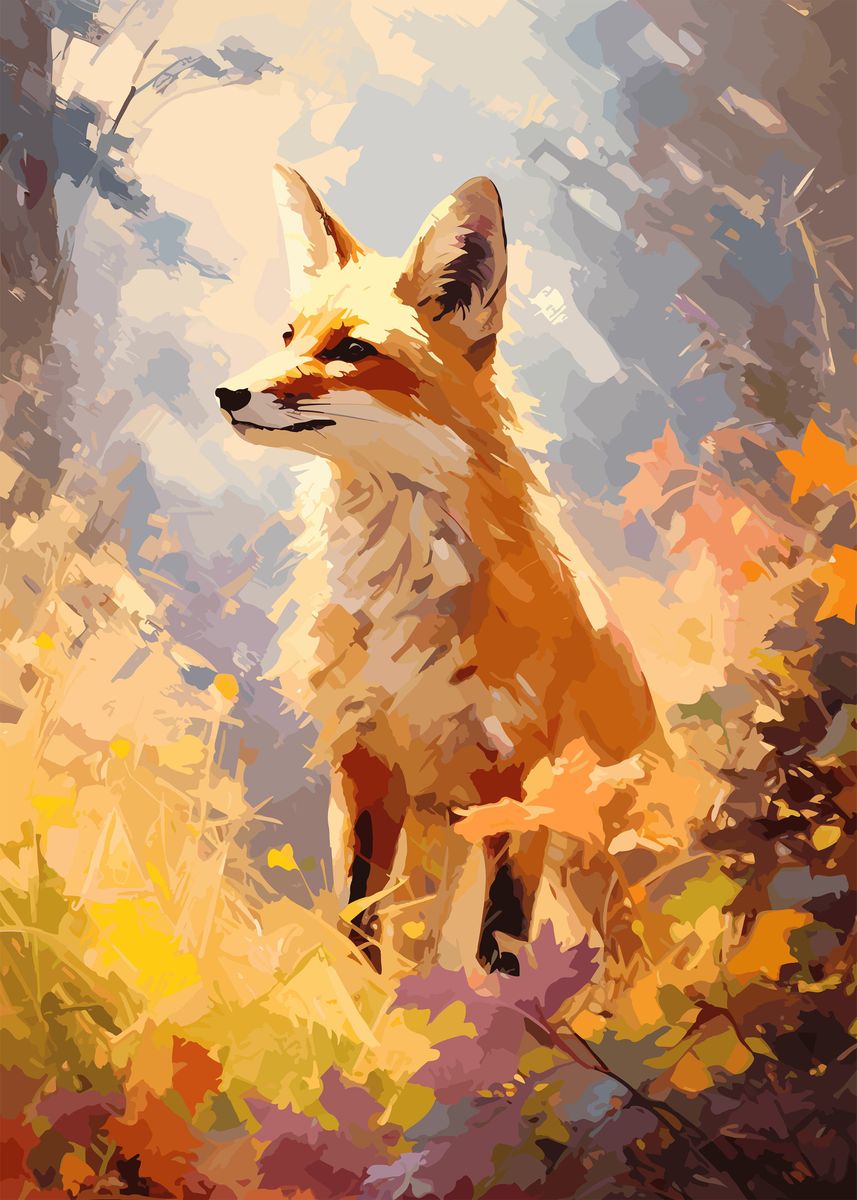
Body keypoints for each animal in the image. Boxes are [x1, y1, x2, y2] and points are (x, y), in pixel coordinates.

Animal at [216, 165, 659, 972]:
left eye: (351, 349)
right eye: (289, 336)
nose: (226, 392)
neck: (401, 593)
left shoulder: (524, 782)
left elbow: (501, 943)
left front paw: (496, 1009)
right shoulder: (364, 763)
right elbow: (360, 918)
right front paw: (360, 1001)